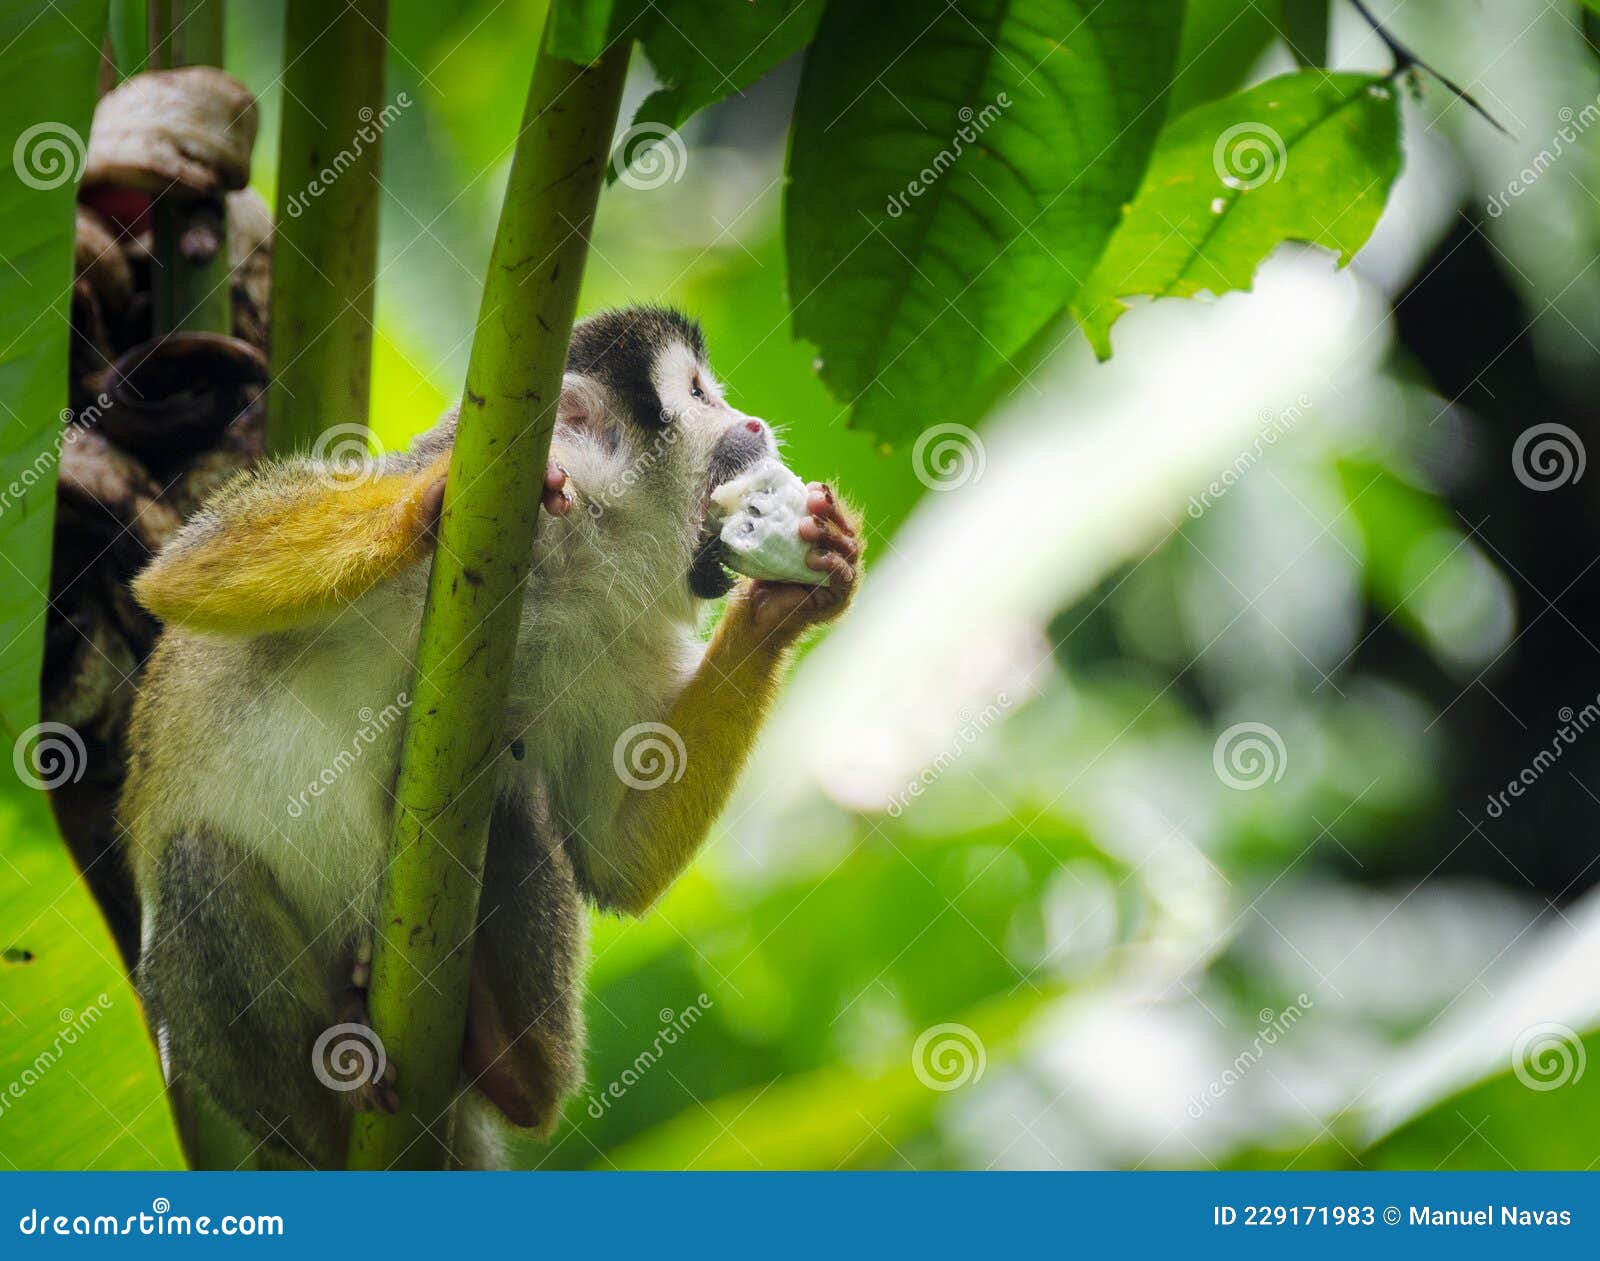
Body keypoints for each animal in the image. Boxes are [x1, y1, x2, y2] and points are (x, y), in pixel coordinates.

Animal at [119, 307, 863, 1168]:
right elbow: (184, 572)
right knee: (194, 865)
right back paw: (340, 1100)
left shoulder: (627, 630)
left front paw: (791, 600)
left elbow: (616, 854)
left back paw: (513, 1067)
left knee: (510, 792)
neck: (563, 562)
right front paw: (437, 499)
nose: (752, 423)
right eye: (703, 396)